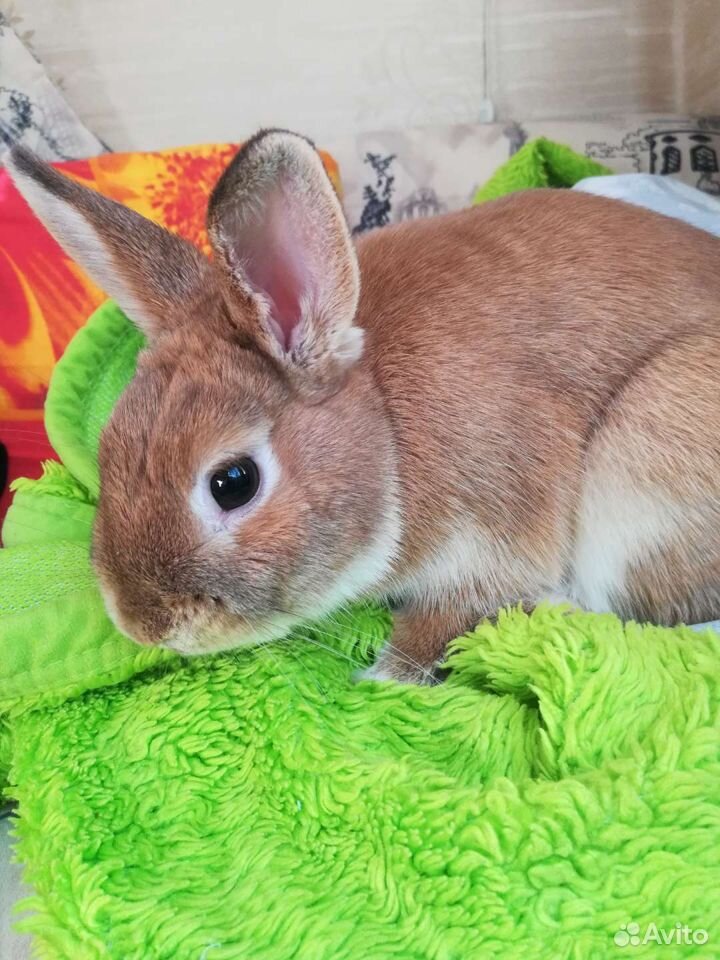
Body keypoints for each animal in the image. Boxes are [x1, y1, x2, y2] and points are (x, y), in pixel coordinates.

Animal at [7, 129, 720, 685]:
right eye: (109, 447)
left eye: (233, 482)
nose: (142, 626)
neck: (386, 427)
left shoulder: (495, 539)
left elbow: (437, 627)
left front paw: (381, 682)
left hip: (641, 467)